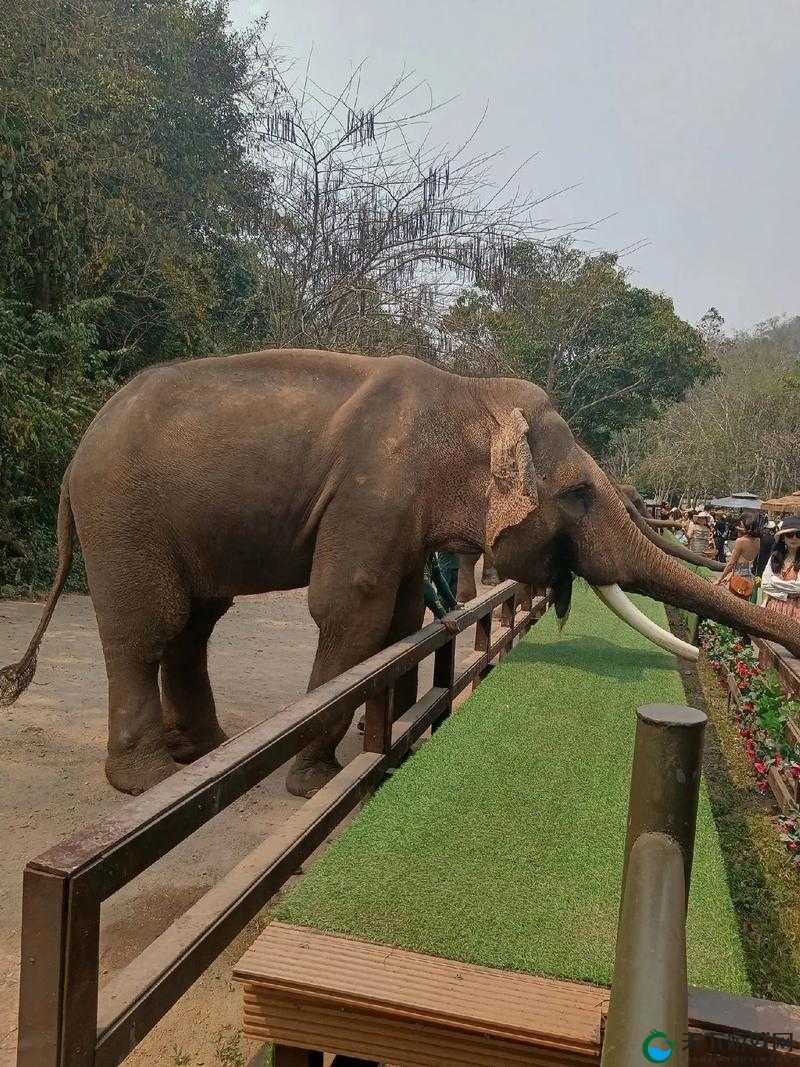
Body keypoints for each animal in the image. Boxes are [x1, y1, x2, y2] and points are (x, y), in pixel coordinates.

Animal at [2, 348, 799, 798]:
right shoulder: (374, 488)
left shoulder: (401, 509)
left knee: (196, 622)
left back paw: (208, 750)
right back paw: (152, 780)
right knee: (152, 626)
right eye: (578, 493)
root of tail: (73, 462)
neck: (467, 393)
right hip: (125, 515)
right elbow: (349, 606)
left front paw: (397, 732)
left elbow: (402, 614)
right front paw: (314, 780)